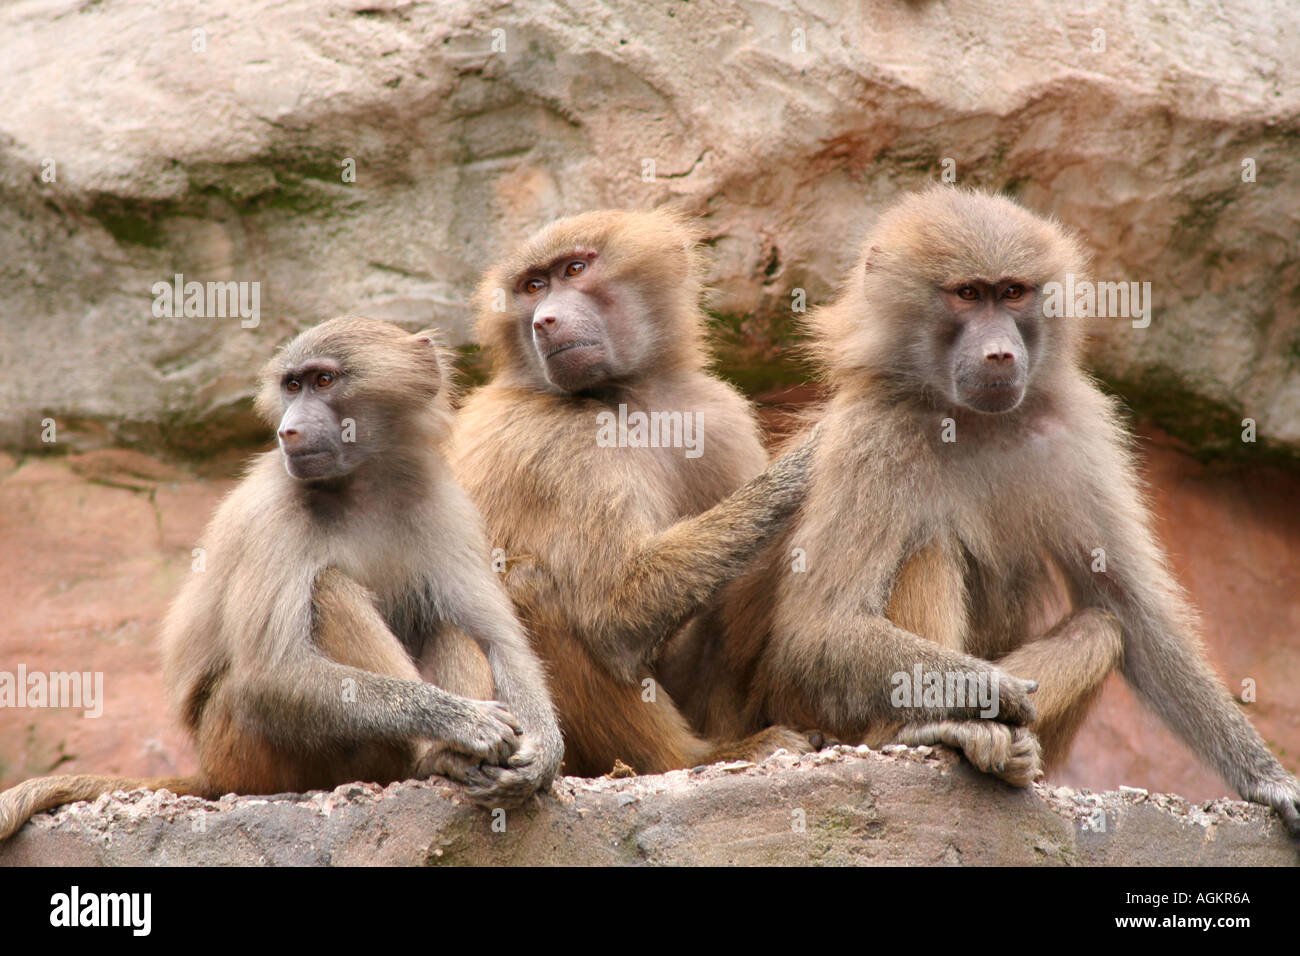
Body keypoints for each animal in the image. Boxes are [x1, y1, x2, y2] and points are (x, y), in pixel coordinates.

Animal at [0, 317, 563, 841]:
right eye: (292, 386)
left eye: (323, 380)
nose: (288, 431)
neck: (363, 484)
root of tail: (209, 772)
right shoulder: (275, 511)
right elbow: (272, 675)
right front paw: (462, 722)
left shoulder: (446, 503)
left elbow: (498, 641)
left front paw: (541, 752)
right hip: (246, 751)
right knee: (329, 593)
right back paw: (440, 757)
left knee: (452, 628)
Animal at [449, 208, 820, 778]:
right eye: (533, 287)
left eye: (574, 269)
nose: (544, 321)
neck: (628, 397)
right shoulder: (560, 443)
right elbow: (614, 611)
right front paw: (810, 456)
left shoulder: (715, 415)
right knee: (536, 584)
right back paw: (698, 757)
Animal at [692, 185, 1300, 834]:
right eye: (966, 294)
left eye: (1012, 292)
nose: (1002, 354)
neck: (970, 420)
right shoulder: (873, 433)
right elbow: (820, 628)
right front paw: (990, 694)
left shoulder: (1075, 429)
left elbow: (1131, 612)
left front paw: (1267, 778)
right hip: (795, 708)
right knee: (926, 546)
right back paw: (927, 730)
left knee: (1099, 628)